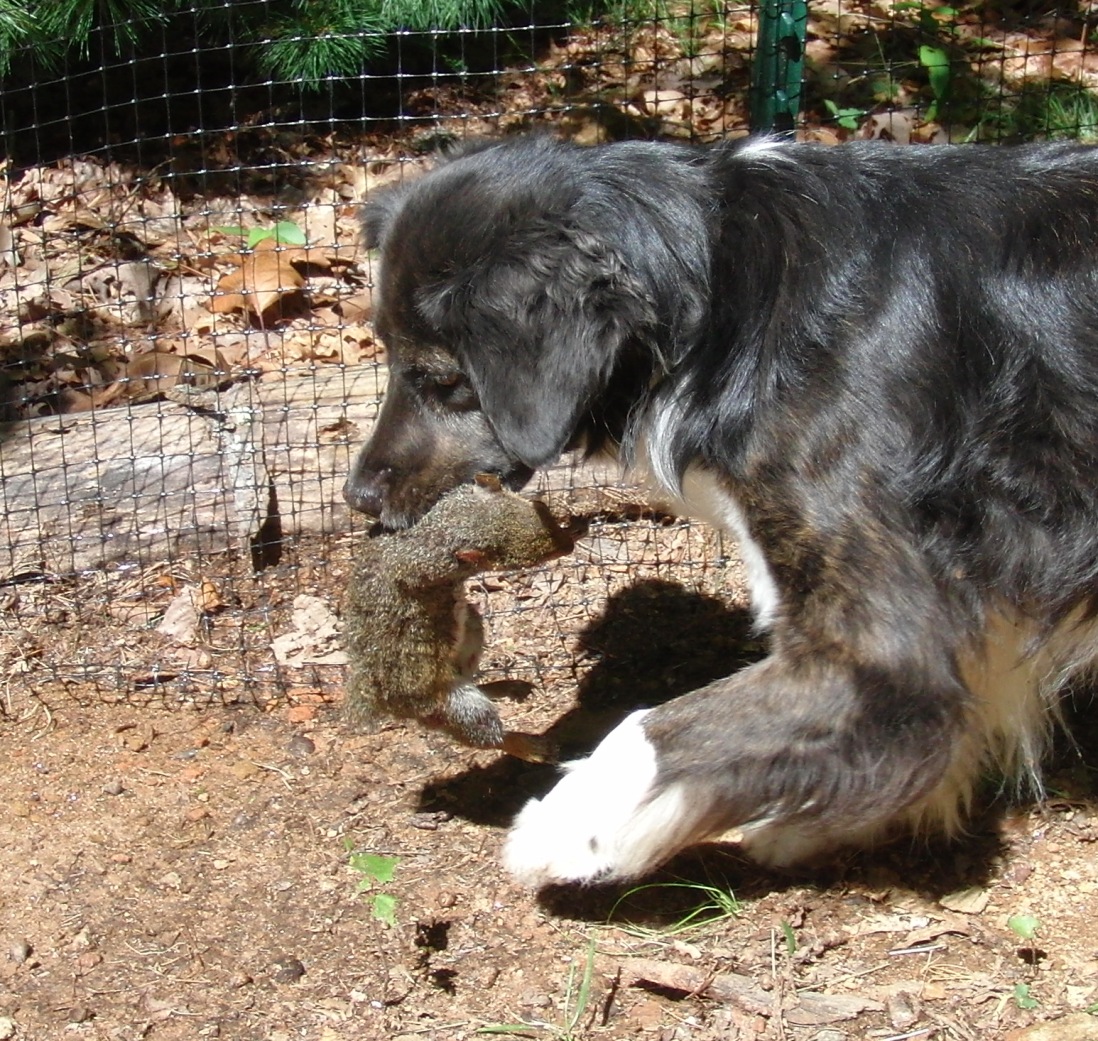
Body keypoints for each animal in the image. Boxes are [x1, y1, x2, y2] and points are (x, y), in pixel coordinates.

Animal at [342, 475, 575, 762]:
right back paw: (531, 747)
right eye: (523, 560)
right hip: (454, 705)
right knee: (485, 733)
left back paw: (504, 687)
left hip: (471, 634)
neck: (443, 530)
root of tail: (385, 703)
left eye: (541, 507)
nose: (569, 546)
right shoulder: (421, 565)